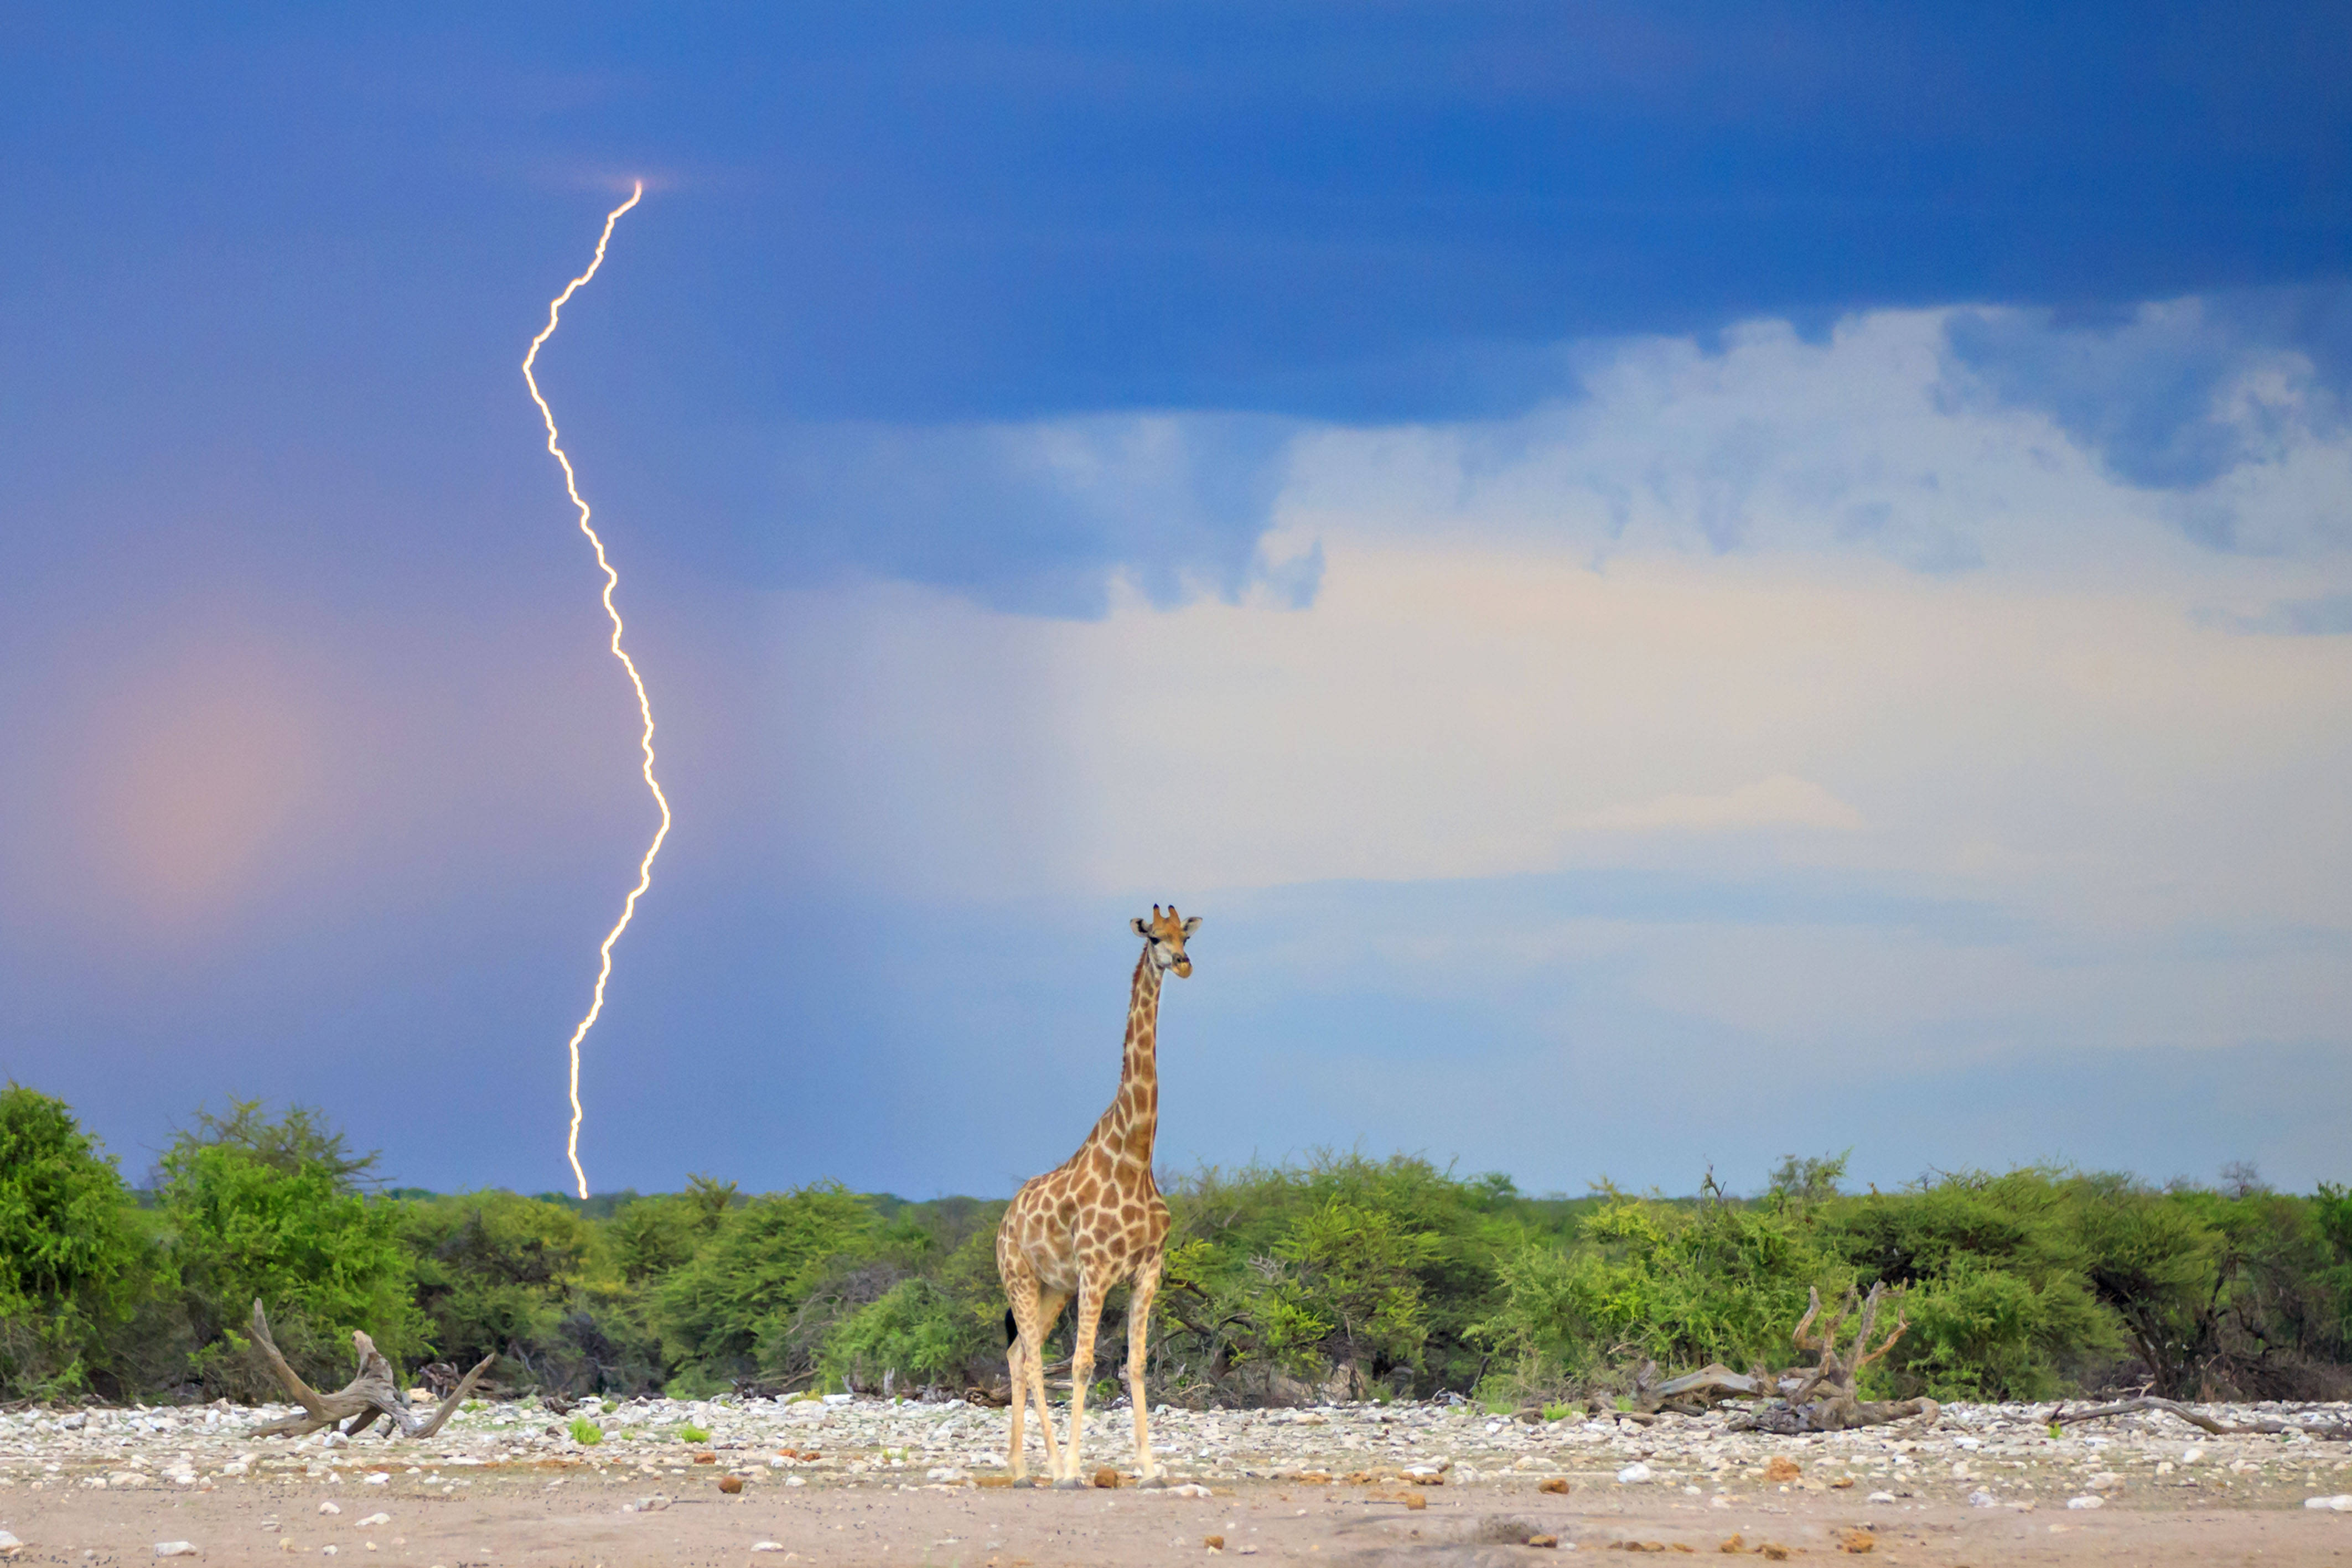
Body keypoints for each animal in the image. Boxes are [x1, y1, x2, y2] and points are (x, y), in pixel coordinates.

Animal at [995, 903, 1200, 1487]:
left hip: (1053, 1289)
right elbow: (1084, 1365)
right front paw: (1073, 1468)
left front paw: (1149, 1467)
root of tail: (1004, 1221)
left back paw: (1022, 1467)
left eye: (1185, 936)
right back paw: (1050, 1467)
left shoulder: (1147, 1270)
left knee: (1020, 1354)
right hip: (1020, 1277)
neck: (1134, 1157)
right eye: (1154, 937)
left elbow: (1135, 1364)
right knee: (1033, 1359)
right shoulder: (1096, 1268)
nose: (1183, 964)